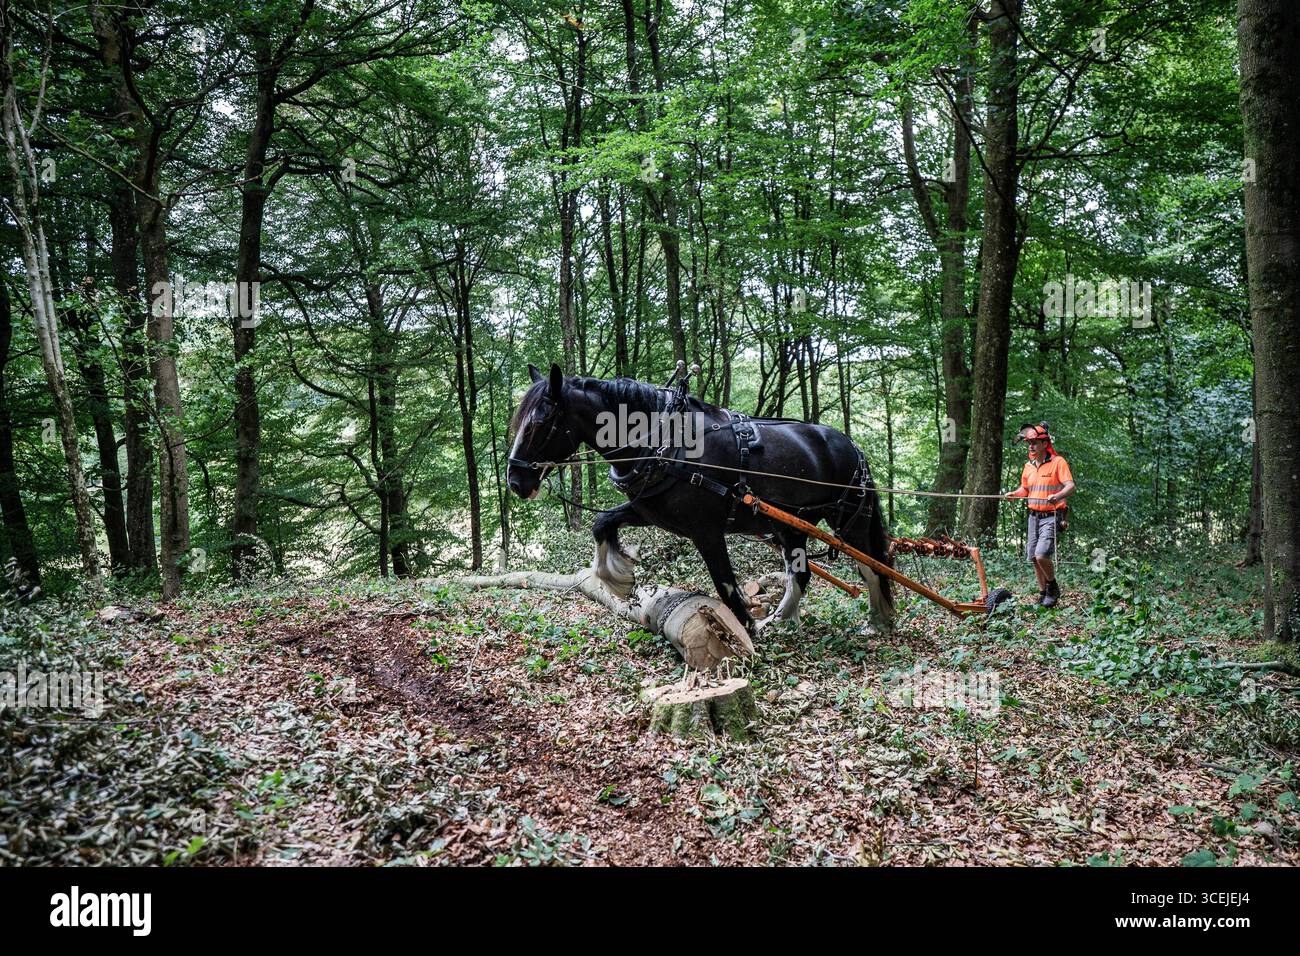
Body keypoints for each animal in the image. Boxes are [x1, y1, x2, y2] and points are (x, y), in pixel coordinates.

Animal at [506, 363, 895, 635]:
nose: (515, 481)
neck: (663, 440)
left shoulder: (706, 530)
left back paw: (879, 619)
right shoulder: (651, 511)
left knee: (872, 565)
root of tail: (851, 445)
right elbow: (602, 523)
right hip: (790, 525)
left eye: (538, 423)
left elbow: (725, 584)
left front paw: (744, 631)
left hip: (848, 519)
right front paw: (621, 578)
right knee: (800, 574)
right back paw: (782, 619)